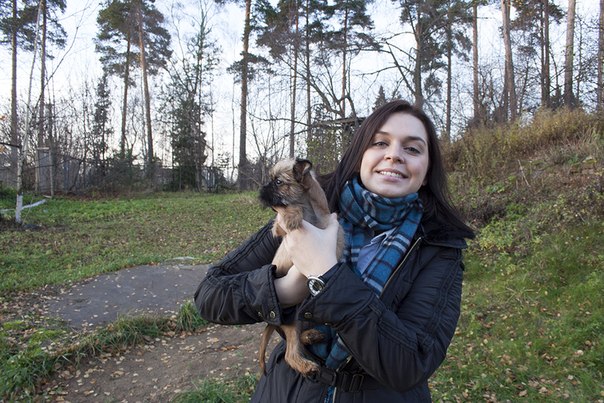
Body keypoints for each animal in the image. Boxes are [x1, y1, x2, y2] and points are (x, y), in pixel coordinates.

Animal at [258, 158, 343, 376]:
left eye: (278, 182)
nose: (261, 189)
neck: (311, 211)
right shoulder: (279, 228)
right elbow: (291, 211)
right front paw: (293, 216)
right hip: (293, 320)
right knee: (290, 353)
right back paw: (307, 366)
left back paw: (312, 336)